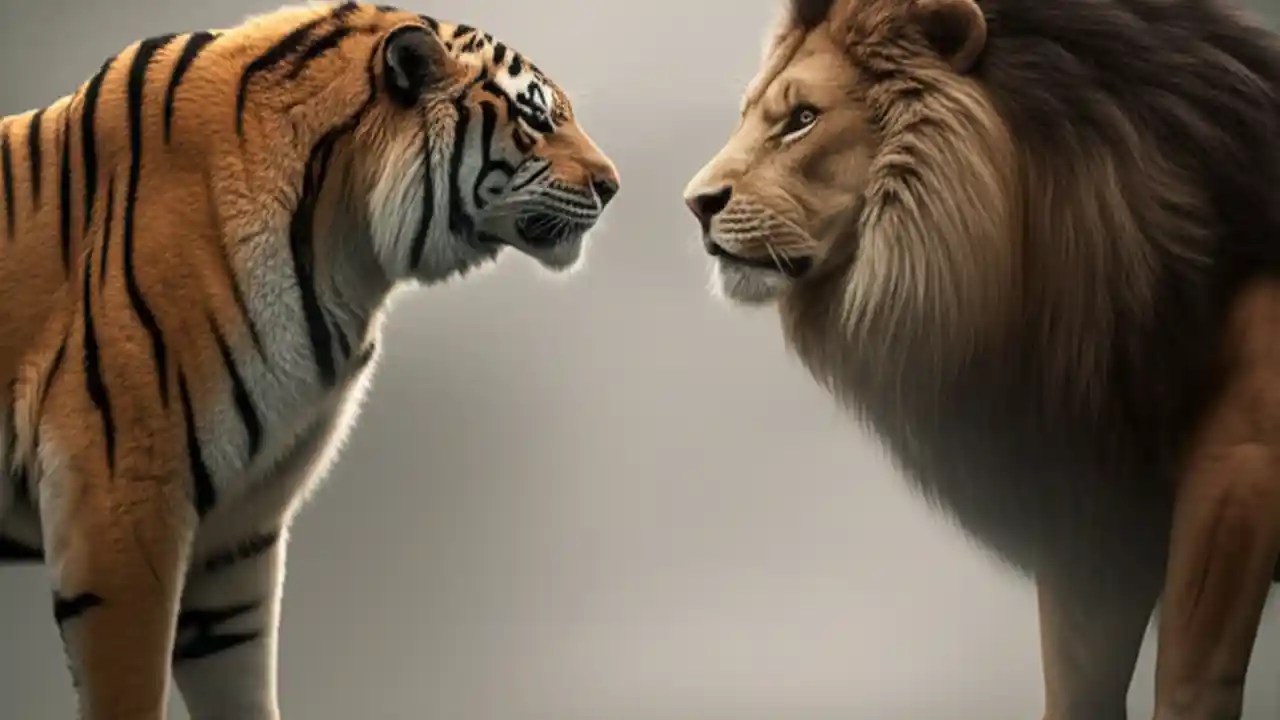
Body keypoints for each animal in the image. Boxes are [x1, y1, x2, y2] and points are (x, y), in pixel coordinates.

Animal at [682, 0, 1280, 717]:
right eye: (750, 113)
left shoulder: (1239, 466)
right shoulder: (1085, 481)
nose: (695, 203)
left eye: (802, 118)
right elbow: (1078, 677)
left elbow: (1191, 682)